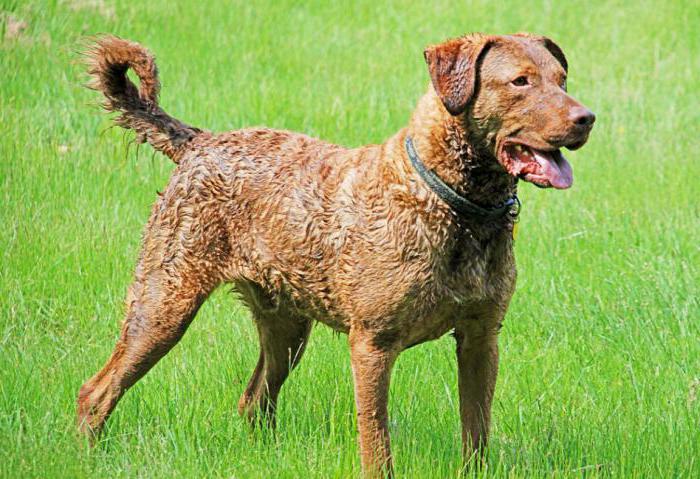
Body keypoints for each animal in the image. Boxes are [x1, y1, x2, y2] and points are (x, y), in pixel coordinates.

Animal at [78, 32, 596, 476]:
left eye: (562, 79)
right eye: (520, 81)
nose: (586, 118)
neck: (451, 203)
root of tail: (199, 143)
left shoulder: (481, 337)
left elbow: (477, 433)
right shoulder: (372, 344)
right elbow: (376, 442)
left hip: (286, 327)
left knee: (254, 400)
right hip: (163, 303)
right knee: (96, 392)